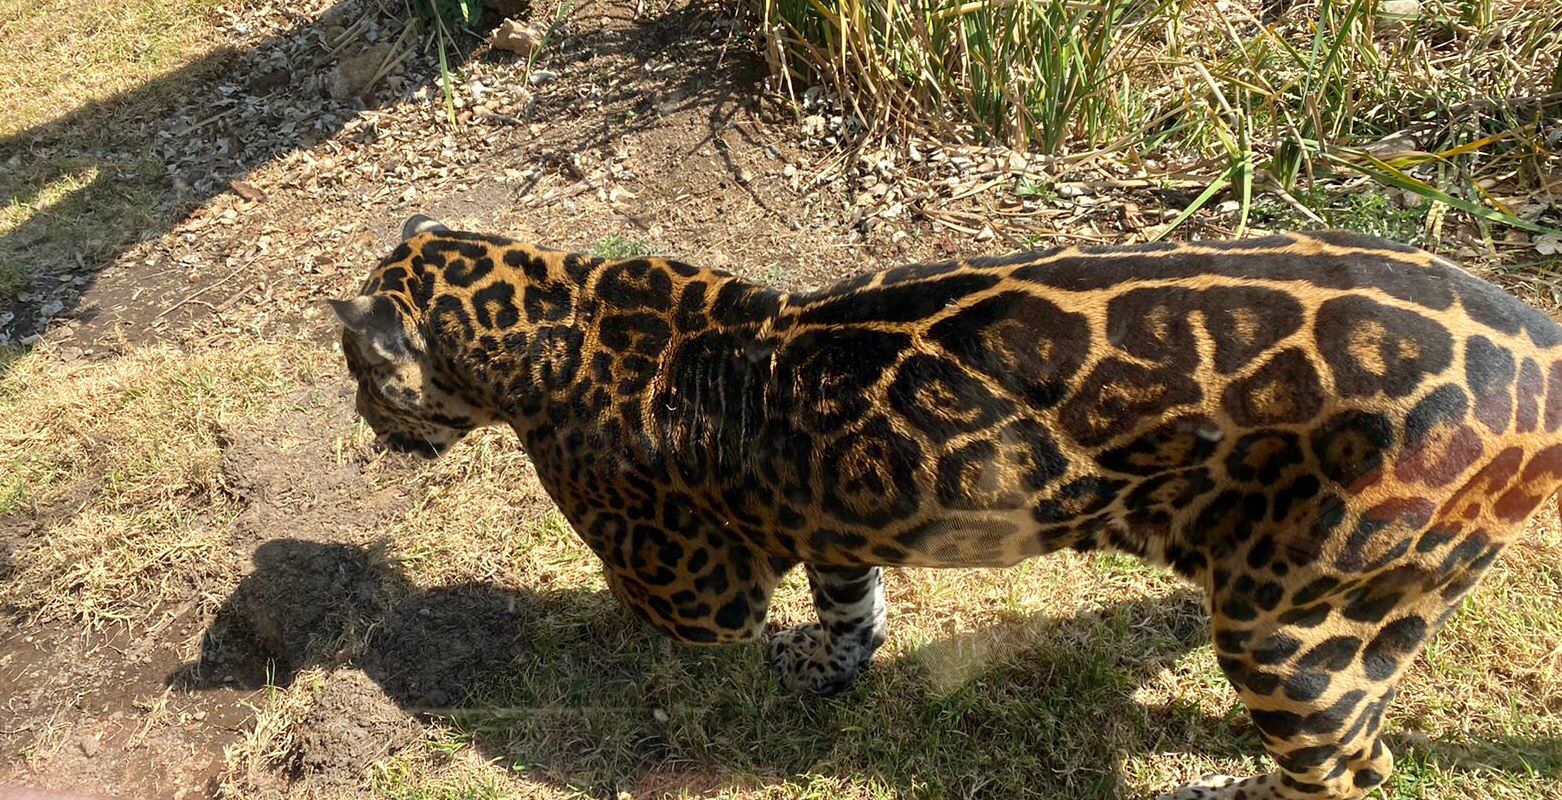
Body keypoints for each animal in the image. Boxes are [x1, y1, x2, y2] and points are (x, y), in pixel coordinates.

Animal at [331, 214, 1562, 800]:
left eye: (359, 373)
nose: (364, 424)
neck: (562, 304)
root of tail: (1545, 345)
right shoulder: (835, 521)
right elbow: (850, 608)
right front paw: (830, 667)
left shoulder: (698, 594)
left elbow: (674, 615)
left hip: (1296, 630)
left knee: (1353, 769)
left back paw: (1224, 788)